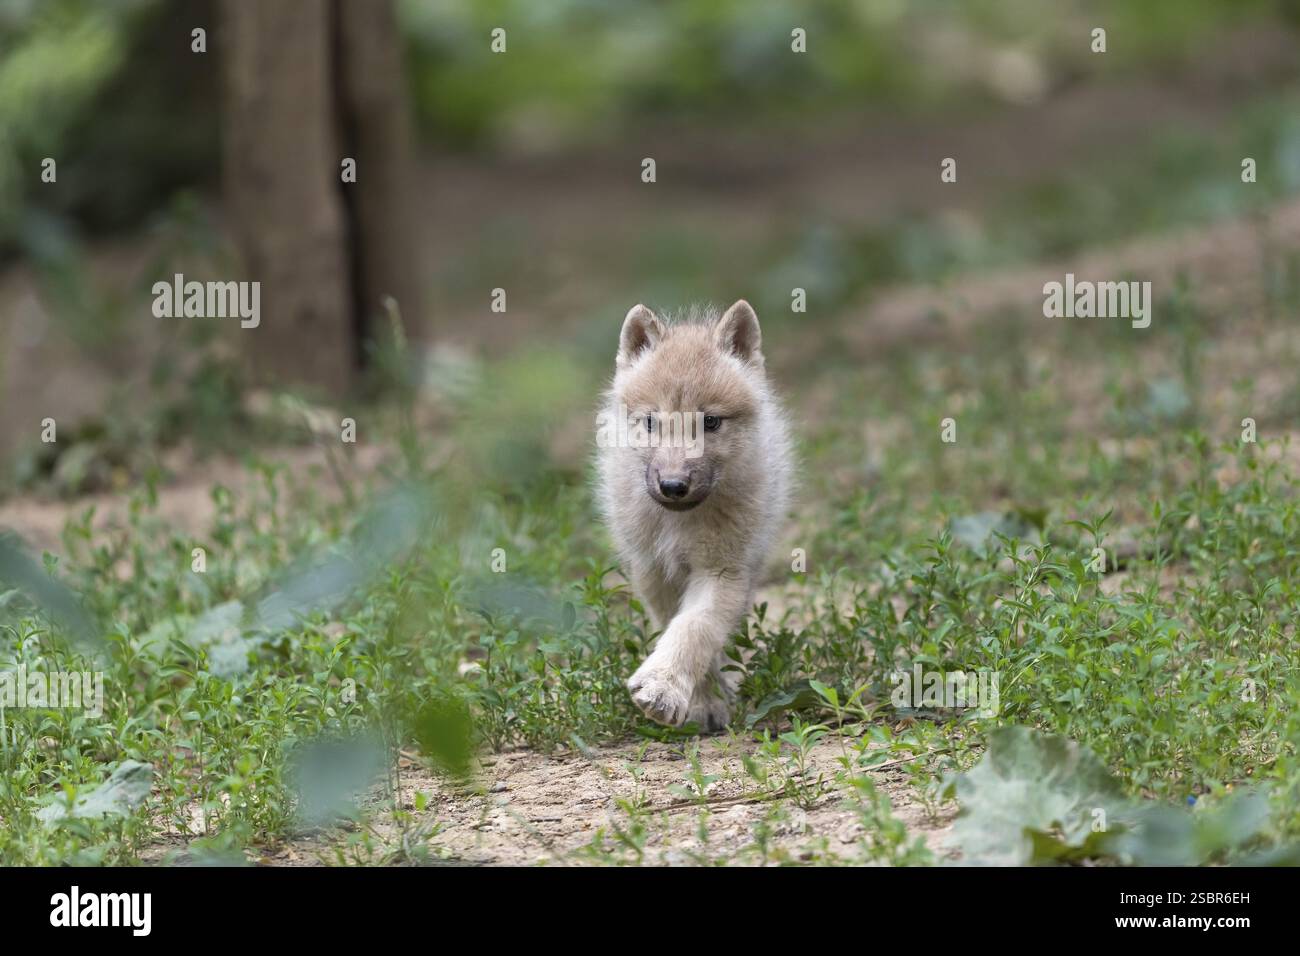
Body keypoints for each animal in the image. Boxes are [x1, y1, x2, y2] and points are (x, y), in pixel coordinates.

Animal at [596, 300, 794, 731]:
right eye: (651, 422)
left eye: (711, 422)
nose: (673, 486)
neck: (680, 524)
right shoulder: (654, 571)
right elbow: (678, 626)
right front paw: (700, 700)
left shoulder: (724, 570)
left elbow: (695, 629)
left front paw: (665, 687)